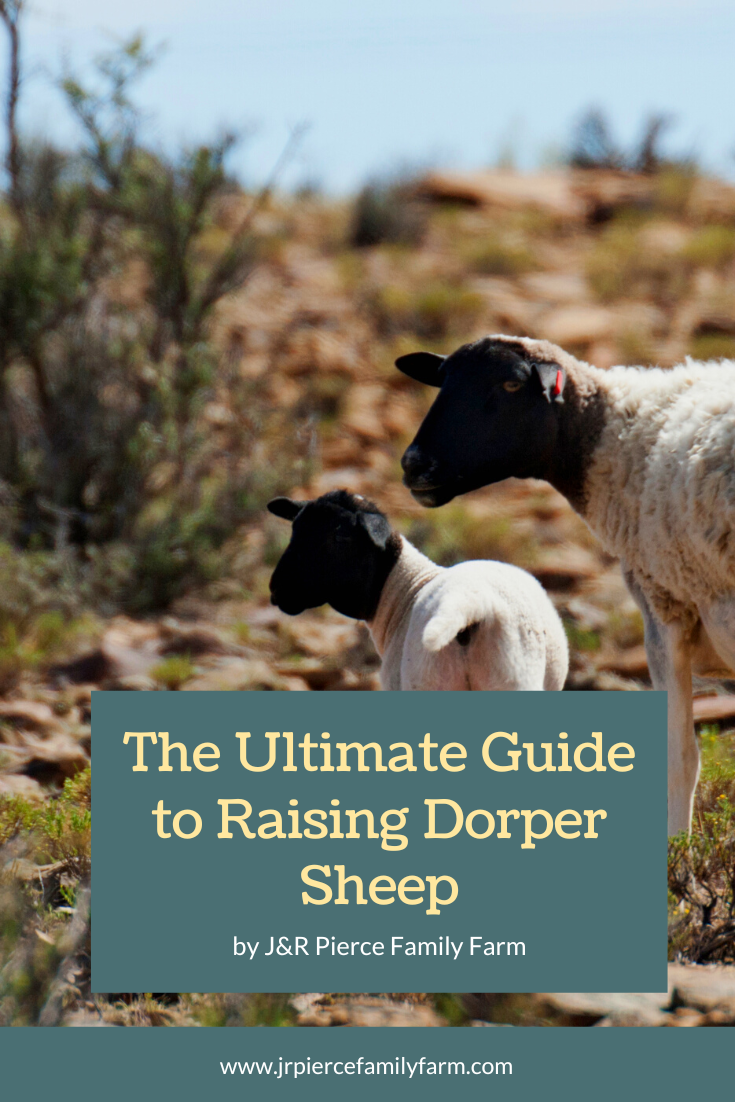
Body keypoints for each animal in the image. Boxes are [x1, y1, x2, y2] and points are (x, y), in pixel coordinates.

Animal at [397, 332, 735, 833]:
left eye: (512, 384)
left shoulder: (665, 605)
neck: (619, 436)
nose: (414, 465)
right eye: (442, 380)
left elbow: (680, 760)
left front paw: (678, 846)